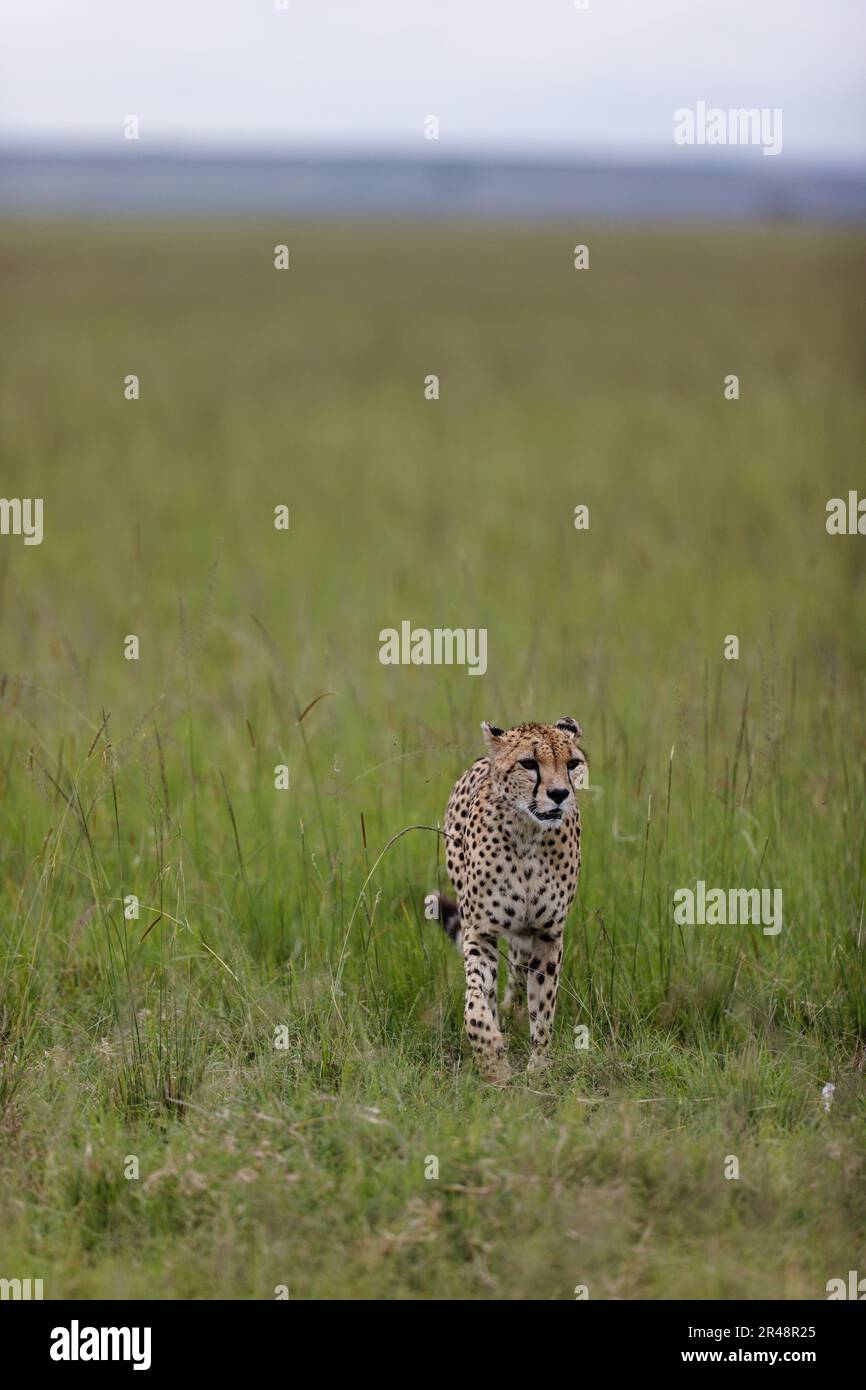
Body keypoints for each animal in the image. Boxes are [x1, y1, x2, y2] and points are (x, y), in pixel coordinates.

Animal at [432, 716, 587, 1084]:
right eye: (528, 764)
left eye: (572, 763)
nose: (559, 794)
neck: (528, 833)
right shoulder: (481, 931)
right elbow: (475, 1002)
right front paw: (493, 1061)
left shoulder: (547, 934)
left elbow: (543, 1006)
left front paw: (538, 1069)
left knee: (518, 968)